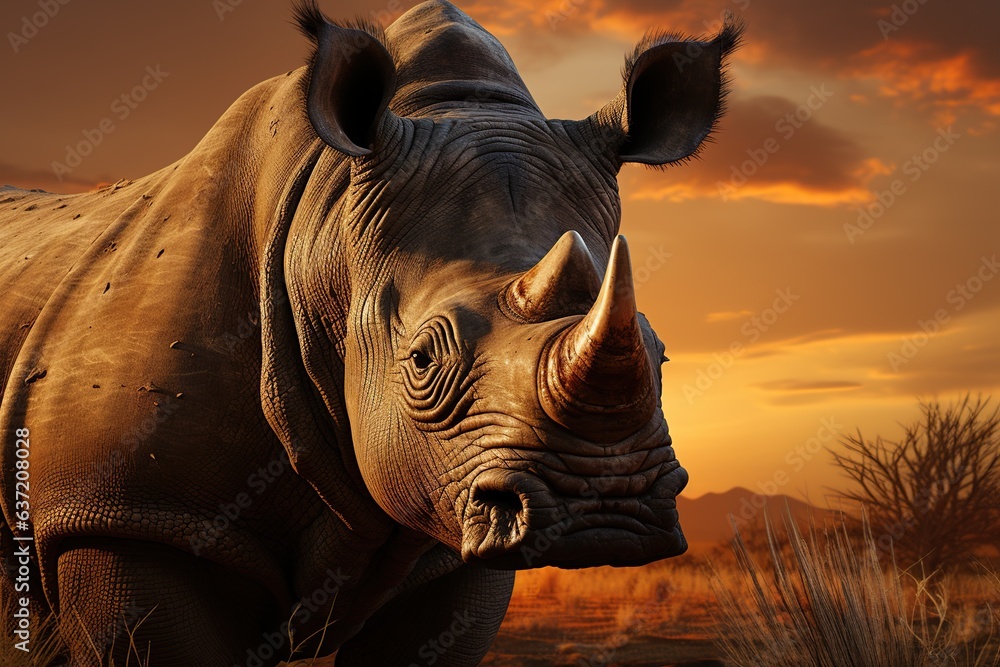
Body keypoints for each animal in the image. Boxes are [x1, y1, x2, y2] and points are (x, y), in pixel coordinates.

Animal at [0, 1, 740, 664]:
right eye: (422, 358)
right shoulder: (130, 515)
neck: (324, 231)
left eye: (661, 355)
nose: (604, 509)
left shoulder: (453, 536)